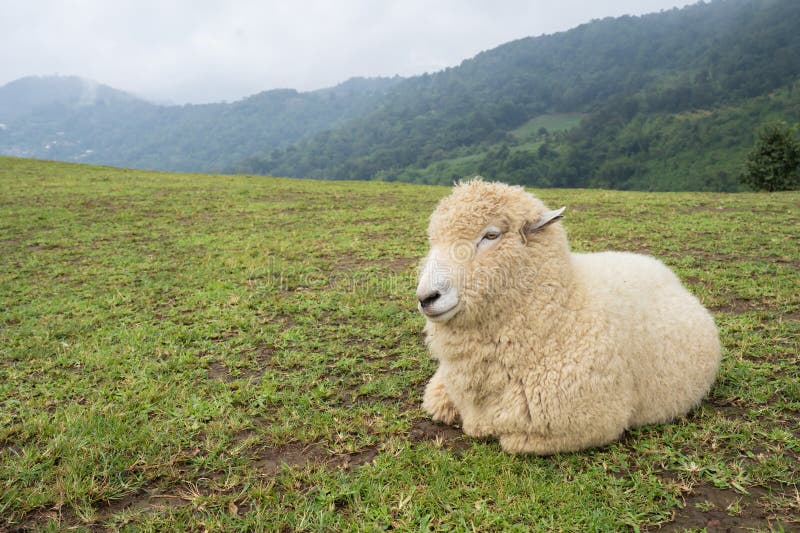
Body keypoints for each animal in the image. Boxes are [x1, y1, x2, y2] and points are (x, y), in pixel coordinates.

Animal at [416, 178, 721, 455]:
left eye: (491, 235)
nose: (426, 297)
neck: (560, 313)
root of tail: (663, 269)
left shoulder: (584, 423)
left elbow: (511, 441)